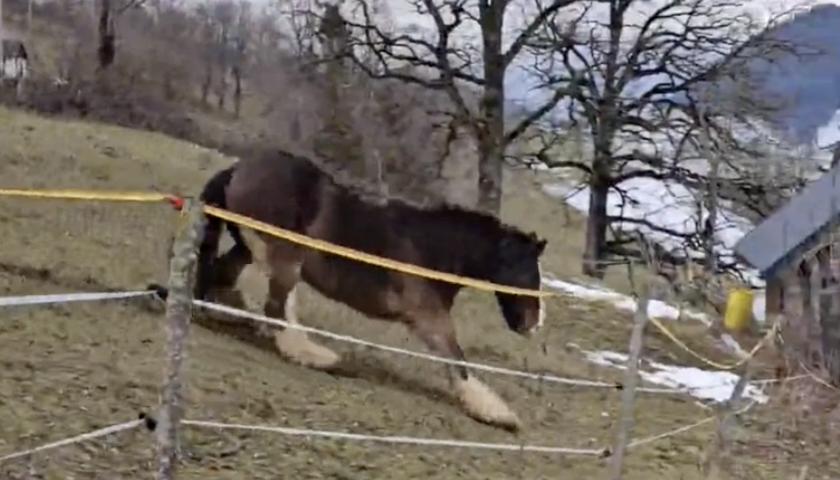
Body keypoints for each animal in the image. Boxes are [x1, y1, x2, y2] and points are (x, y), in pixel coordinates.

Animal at [185, 148, 547, 431]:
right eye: (528, 273)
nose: (533, 324)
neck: (432, 249)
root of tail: (239, 168)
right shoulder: (427, 317)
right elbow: (458, 361)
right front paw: (497, 413)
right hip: (282, 255)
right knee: (275, 307)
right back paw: (312, 354)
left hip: (249, 247)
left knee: (226, 276)